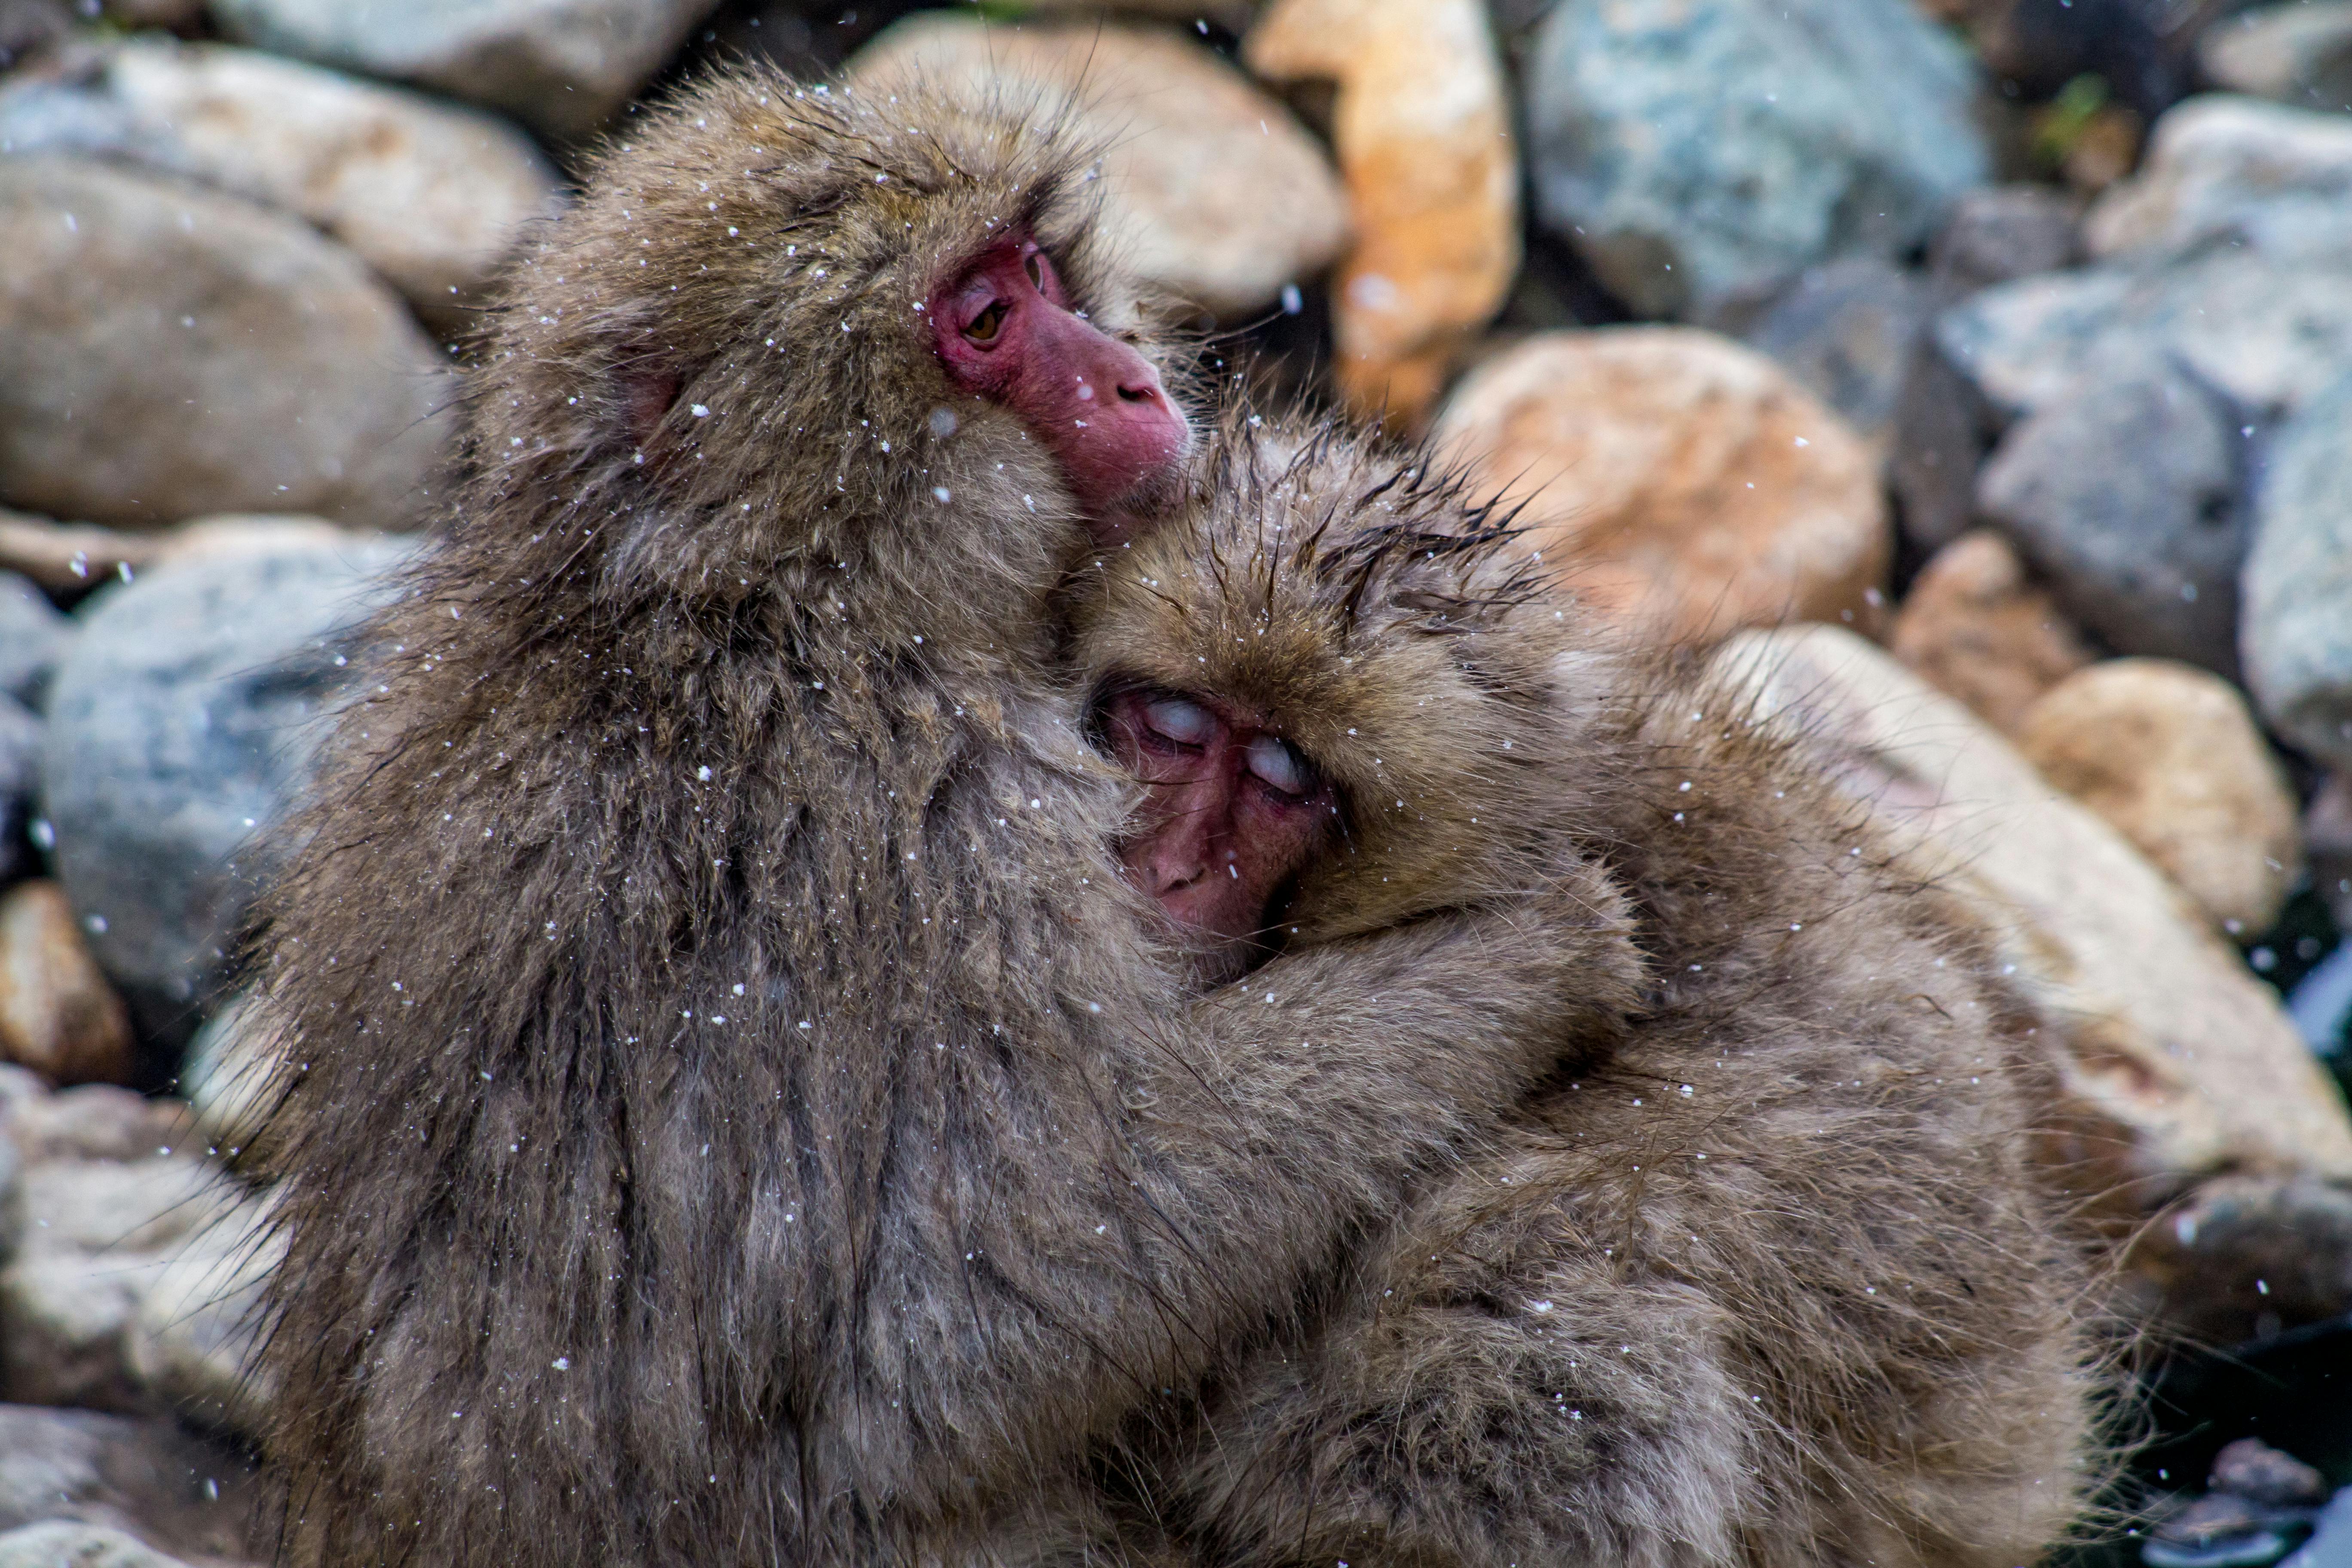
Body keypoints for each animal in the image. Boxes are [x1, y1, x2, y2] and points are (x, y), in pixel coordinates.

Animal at [243, 68, 1647, 1568]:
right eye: (983, 324)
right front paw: (1540, 949)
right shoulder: (929, 817)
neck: (756, 593)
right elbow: (952, 1334)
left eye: (1037, 272)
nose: (1132, 378)